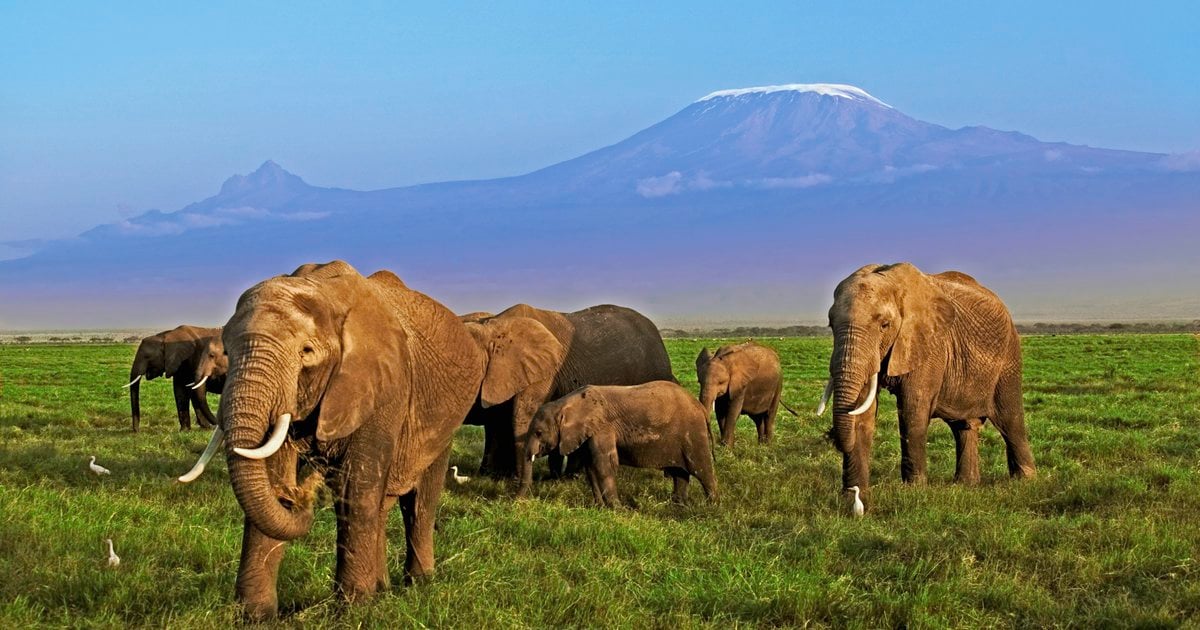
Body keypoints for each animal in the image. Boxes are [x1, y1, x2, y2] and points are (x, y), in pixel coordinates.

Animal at [178, 261, 485, 619]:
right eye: (227, 351)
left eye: (307, 352)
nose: (299, 493)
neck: (321, 290)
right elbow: (270, 471)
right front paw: (255, 617)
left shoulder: (384, 386)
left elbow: (356, 487)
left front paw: (353, 612)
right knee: (383, 504)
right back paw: (383, 589)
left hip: (444, 418)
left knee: (420, 500)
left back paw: (418, 584)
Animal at [524, 382, 718, 507]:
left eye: (539, 433)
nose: (520, 500)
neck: (565, 403)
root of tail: (700, 407)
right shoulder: (589, 433)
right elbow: (591, 467)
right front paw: (599, 508)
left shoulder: (603, 428)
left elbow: (605, 465)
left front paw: (617, 509)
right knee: (680, 473)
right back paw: (678, 505)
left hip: (693, 433)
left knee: (702, 469)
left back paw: (712, 506)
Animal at [819, 263, 1036, 511]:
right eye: (831, 325)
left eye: (885, 325)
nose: (830, 436)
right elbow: (863, 411)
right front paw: (852, 499)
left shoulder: (929, 344)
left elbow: (913, 408)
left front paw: (913, 492)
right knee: (964, 427)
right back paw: (965, 485)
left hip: (1009, 357)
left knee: (1010, 419)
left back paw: (1026, 481)